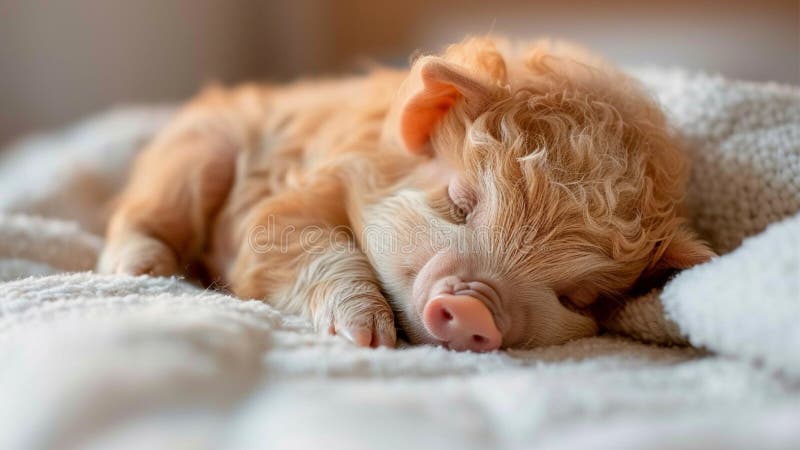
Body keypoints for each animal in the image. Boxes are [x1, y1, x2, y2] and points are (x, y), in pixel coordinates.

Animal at [98, 36, 714, 352]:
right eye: (460, 202)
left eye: (579, 298)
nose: (472, 305)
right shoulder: (282, 208)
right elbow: (296, 243)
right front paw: (367, 339)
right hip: (196, 151)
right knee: (142, 216)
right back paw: (145, 272)